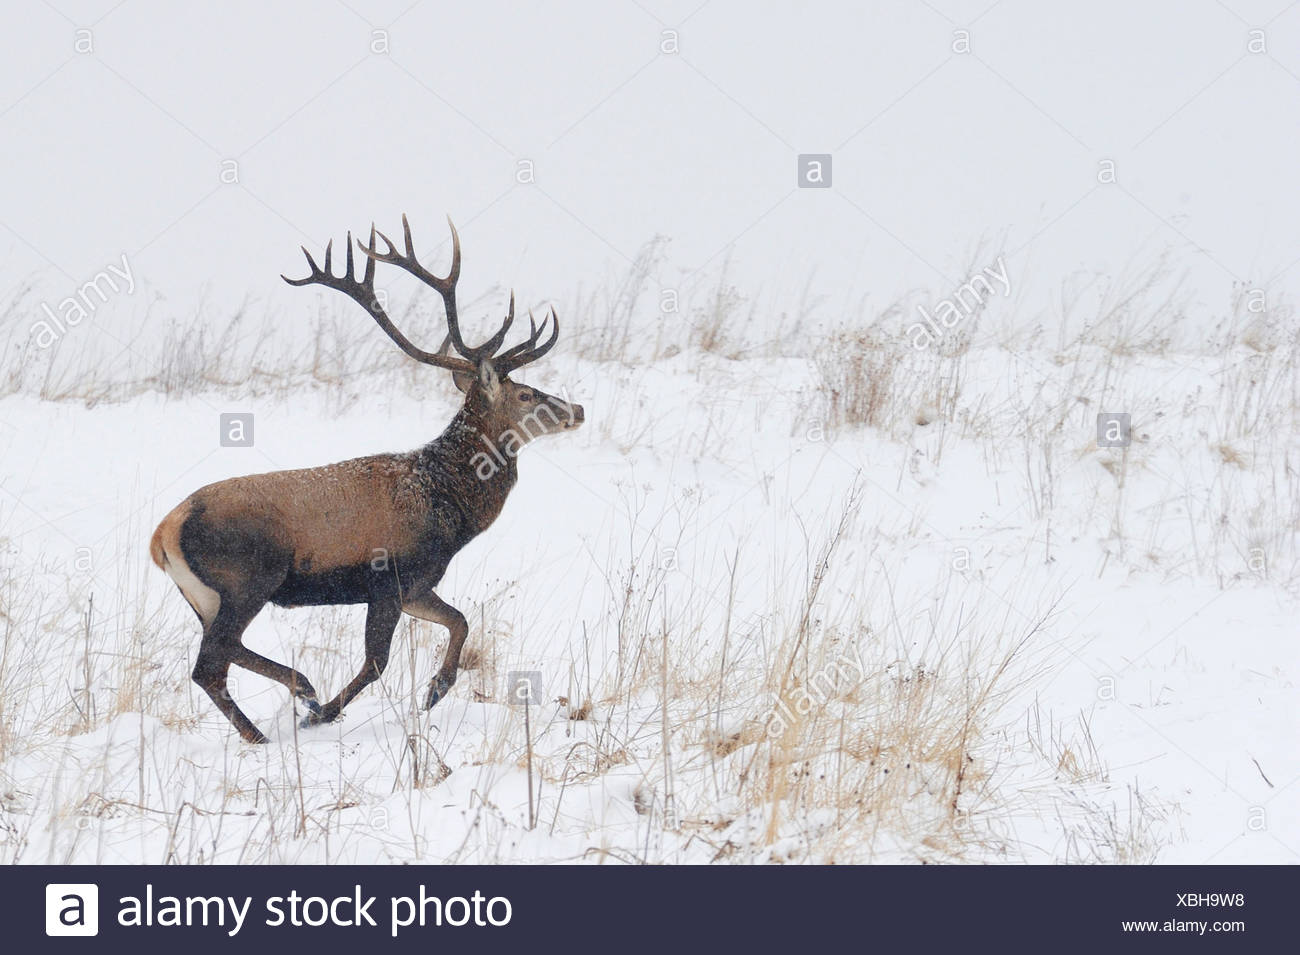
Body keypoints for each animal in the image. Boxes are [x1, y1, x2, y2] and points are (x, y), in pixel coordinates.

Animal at [149, 215, 584, 743]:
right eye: (525, 394)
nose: (577, 409)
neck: (448, 509)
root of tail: (161, 536)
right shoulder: (387, 577)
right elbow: (377, 662)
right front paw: (324, 715)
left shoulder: (417, 584)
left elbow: (460, 621)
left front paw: (434, 691)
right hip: (247, 578)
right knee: (212, 659)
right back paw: (287, 709)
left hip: (205, 596)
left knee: (215, 659)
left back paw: (289, 702)